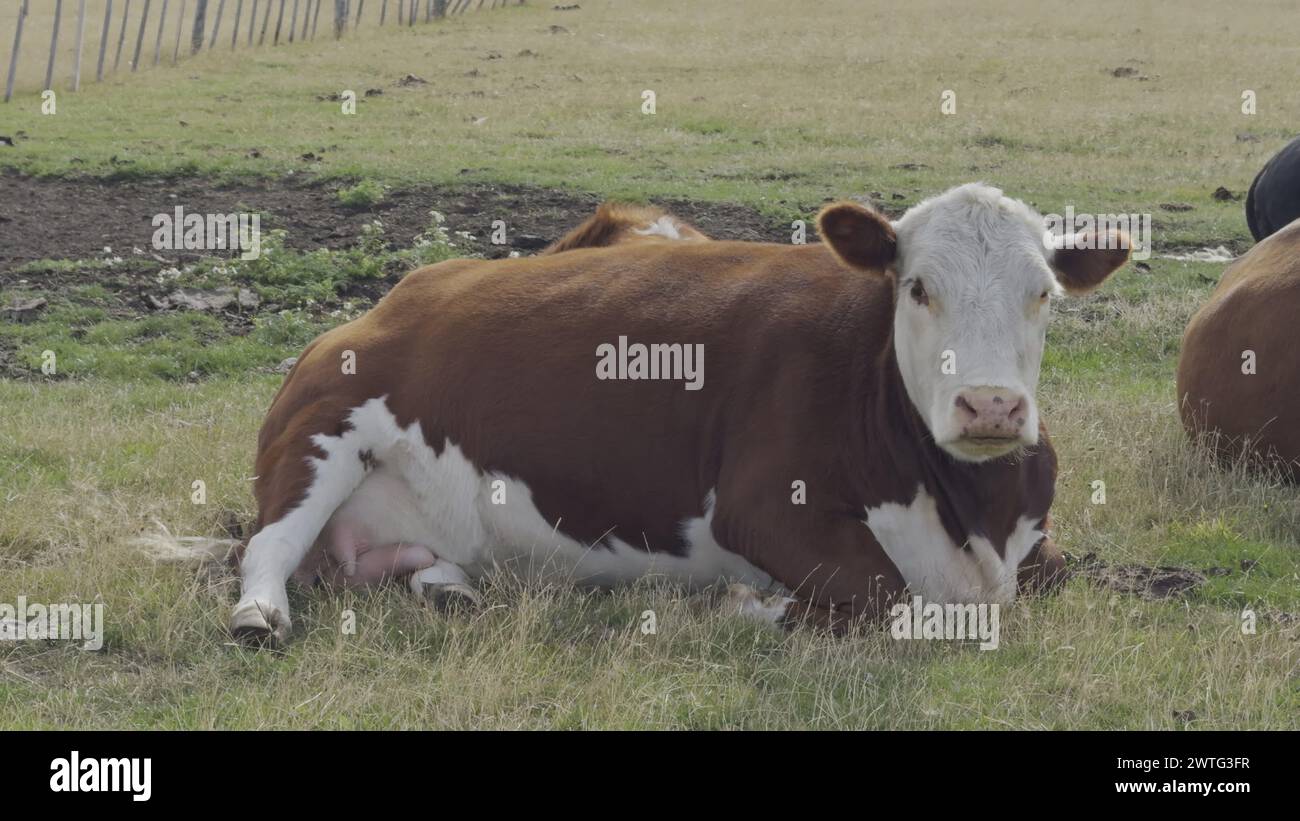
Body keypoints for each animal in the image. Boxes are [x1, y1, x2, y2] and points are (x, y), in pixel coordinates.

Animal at [229, 183, 1129, 645]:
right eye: (917, 287)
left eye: (1043, 293)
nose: (992, 405)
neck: (970, 514)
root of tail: (394, 297)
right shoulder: (761, 504)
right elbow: (884, 592)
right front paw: (758, 605)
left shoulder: (1034, 545)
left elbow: (1063, 572)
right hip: (323, 428)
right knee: (267, 546)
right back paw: (259, 614)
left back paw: (451, 587)